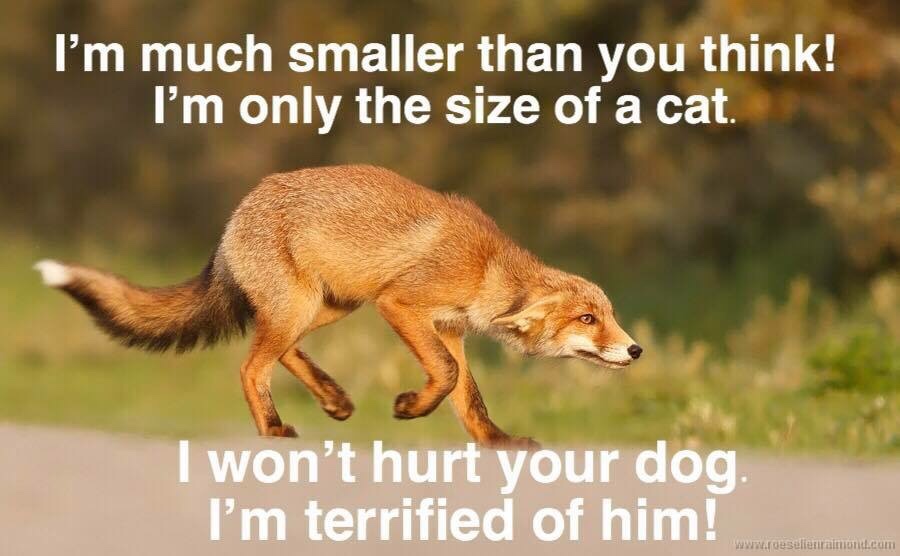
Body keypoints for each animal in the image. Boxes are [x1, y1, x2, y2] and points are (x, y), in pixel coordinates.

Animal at [35, 165, 642, 448]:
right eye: (588, 319)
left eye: (608, 315)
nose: (635, 350)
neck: (485, 267)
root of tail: (238, 212)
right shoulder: (402, 305)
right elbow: (446, 377)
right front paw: (410, 408)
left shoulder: (447, 328)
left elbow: (468, 397)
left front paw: (497, 443)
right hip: (308, 306)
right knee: (251, 365)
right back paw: (273, 429)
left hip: (330, 306)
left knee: (279, 351)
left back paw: (332, 397)